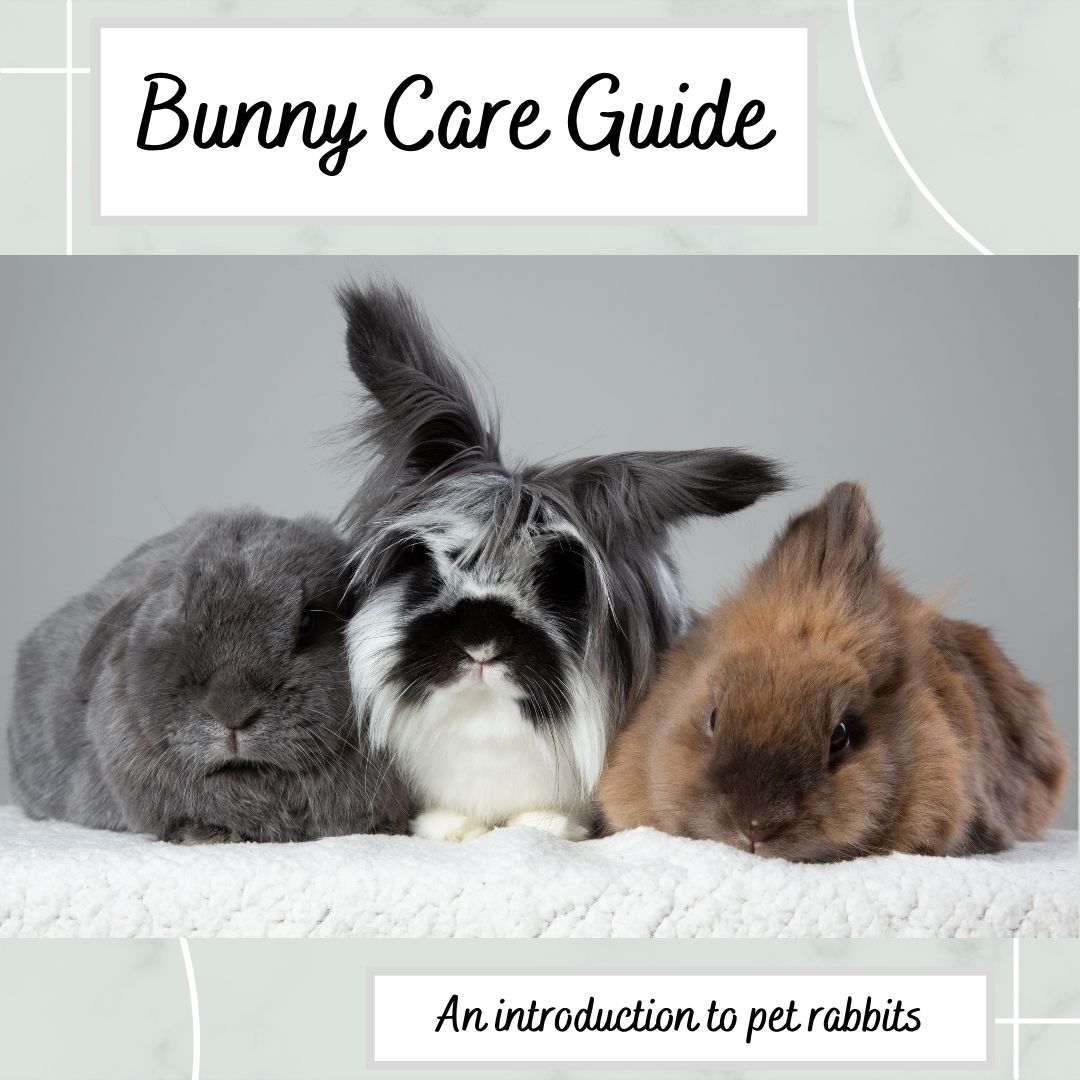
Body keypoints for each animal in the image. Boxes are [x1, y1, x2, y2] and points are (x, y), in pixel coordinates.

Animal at [336, 282, 788, 842]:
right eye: (431, 567)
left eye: (558, 583)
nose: (481, 645)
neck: (486, 717)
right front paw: (451, 830)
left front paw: (545, 828)